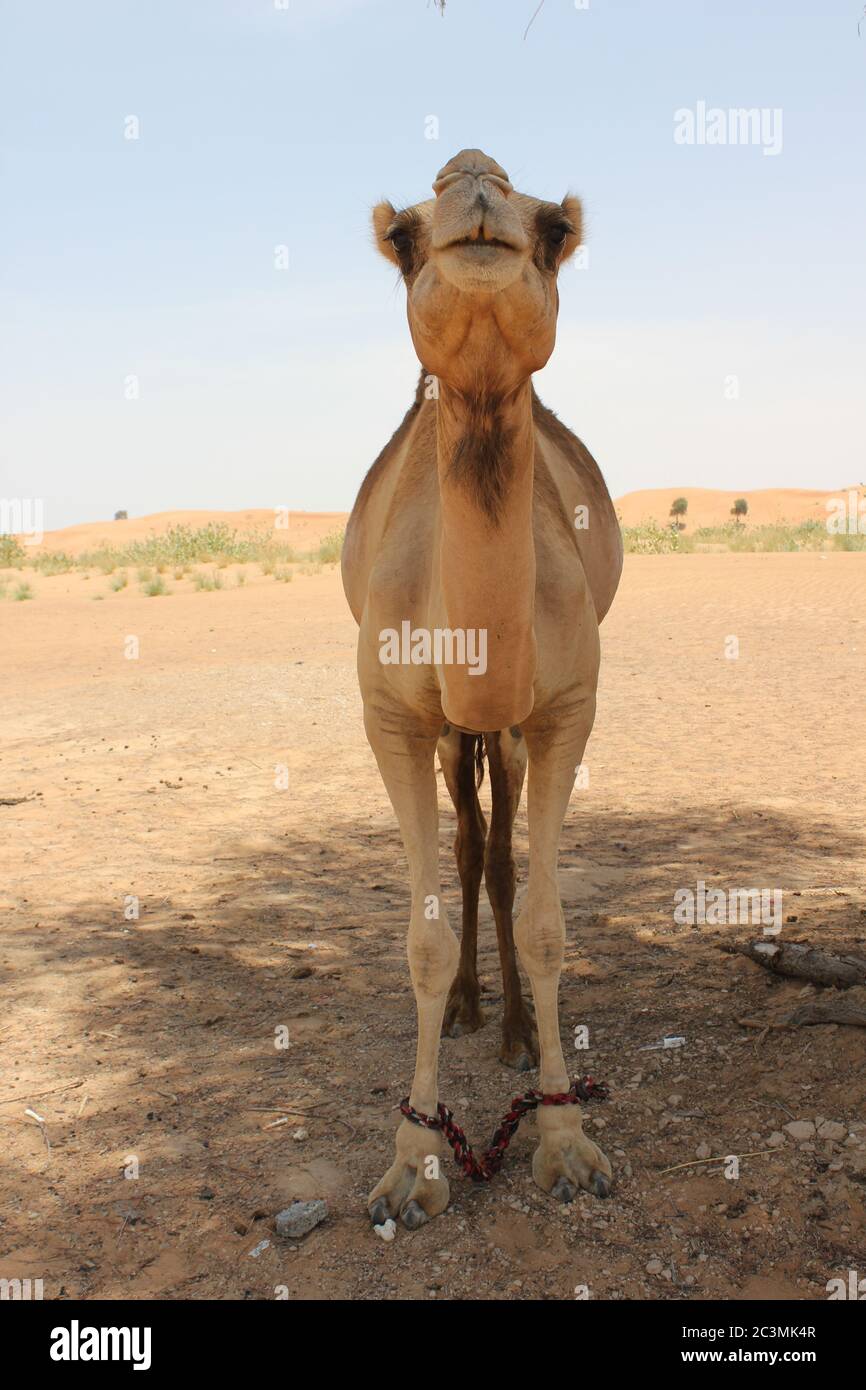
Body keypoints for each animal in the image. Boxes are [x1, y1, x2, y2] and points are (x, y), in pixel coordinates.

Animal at [341, 150, 623, 1230]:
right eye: (401, 238)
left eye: (553, 230)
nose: (475, 197)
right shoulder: (389, 717)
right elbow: (420, 938)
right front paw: (414, 1159)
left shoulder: (563, 709)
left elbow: (544, 924)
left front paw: (563, 1137)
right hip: (445, 731)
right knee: (469, 843)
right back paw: (467, 1007)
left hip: (502, 730)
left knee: (495, 850)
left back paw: (503, 1027)